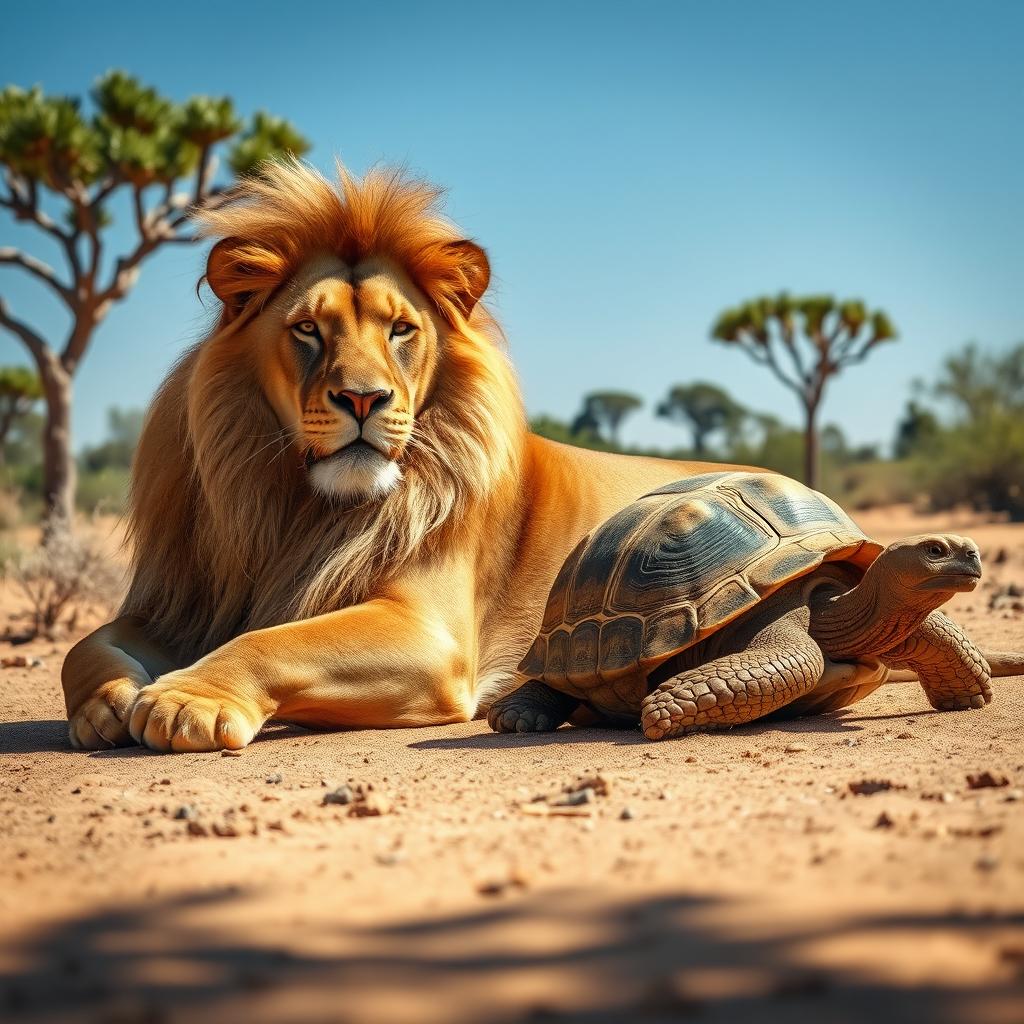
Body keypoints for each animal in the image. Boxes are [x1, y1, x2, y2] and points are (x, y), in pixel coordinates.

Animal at [61, 159, 752, 752]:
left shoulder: (430, 635)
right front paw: (106, 703)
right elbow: (82, 645)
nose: (363, 398)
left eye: (401, 330)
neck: (295, 508)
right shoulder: (180, 605)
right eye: (308, 329)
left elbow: (273, 639)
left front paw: (184, 700)